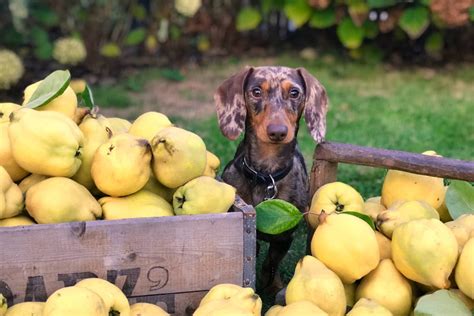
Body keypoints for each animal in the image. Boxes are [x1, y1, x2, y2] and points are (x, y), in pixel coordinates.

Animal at [216, 66, 330, 292]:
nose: (277, 132)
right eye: (256, 91)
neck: (266, 175)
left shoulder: (284, 238)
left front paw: (273, 286)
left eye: (294, 92)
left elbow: (270, 264)